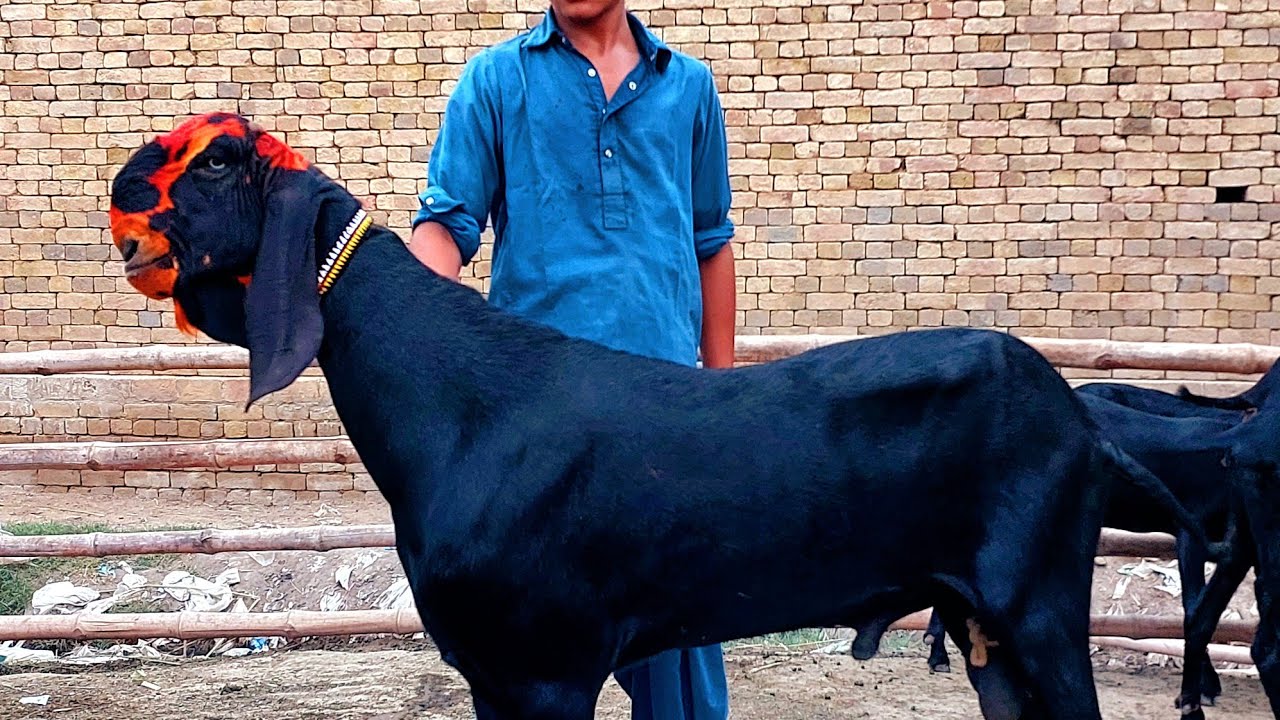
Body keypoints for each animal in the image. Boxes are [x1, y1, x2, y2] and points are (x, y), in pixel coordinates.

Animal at [106, 113, 1224, 720]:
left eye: (216, 160)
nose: (118, 190)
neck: (457, 411)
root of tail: (1075, 415)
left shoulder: (547, 670)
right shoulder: (489, 673)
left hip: (1039, 611)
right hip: (992, 636)